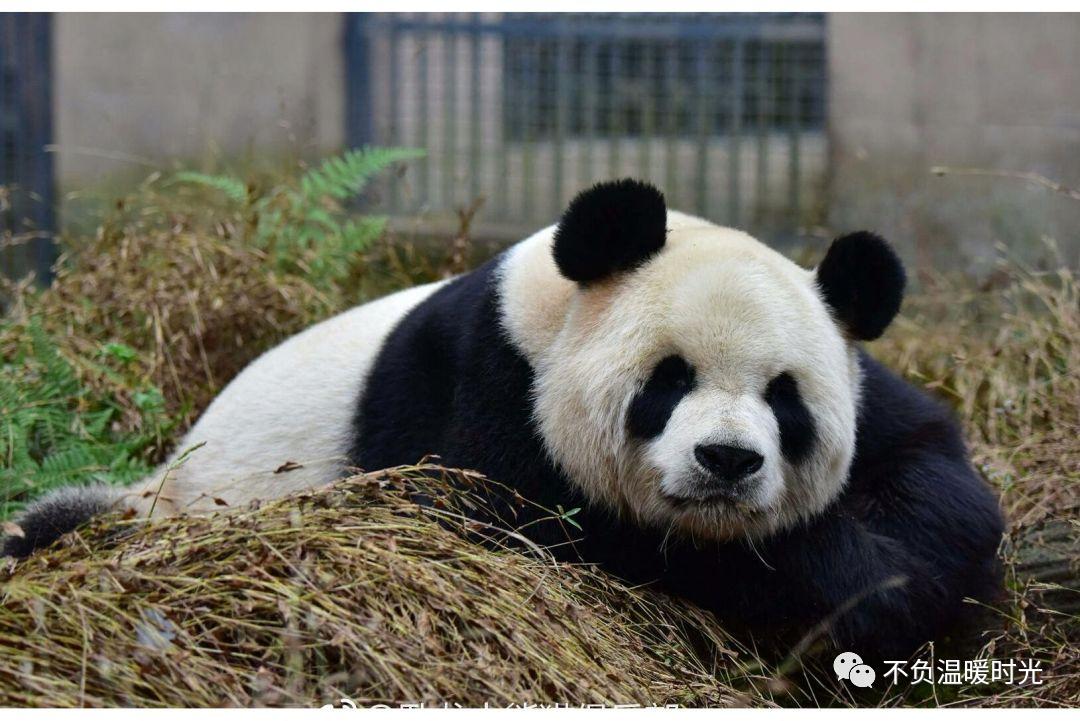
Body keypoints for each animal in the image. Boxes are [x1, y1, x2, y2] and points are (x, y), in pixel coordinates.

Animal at [4, 179, 1003, 660]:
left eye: (785, 398)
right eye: (667, 380)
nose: (726, 460)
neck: (549, 315)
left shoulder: (872, 393)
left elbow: (936, 480)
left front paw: (878, 575)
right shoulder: (489, 385)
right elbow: (495, 528)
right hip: (170, 504)